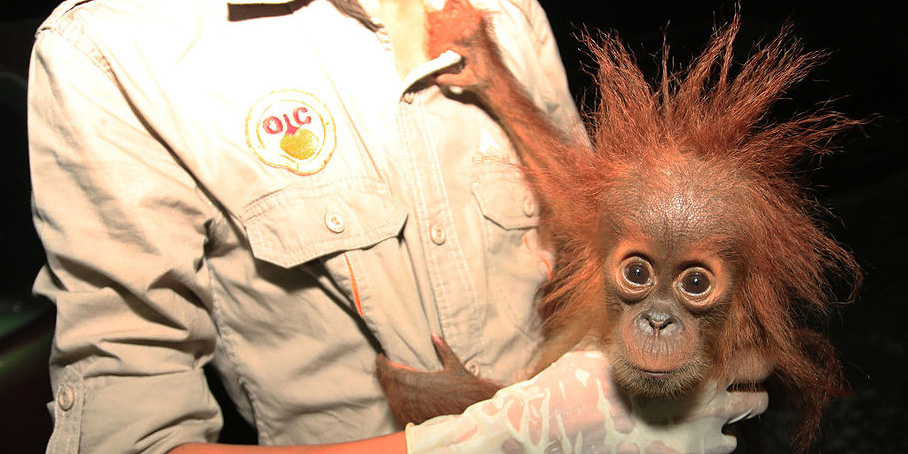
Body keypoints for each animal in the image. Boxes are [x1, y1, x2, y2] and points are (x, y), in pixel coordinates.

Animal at [376, 1, 860, 452]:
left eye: (696, 283)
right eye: (637, 273)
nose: (659, 322)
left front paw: (432, 384)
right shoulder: (589, 213)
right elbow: (556, 176)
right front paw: (477, 57)